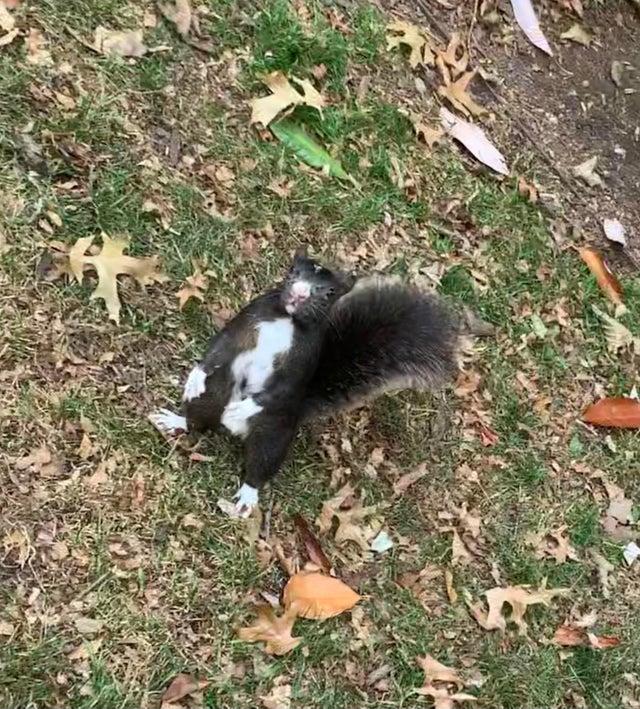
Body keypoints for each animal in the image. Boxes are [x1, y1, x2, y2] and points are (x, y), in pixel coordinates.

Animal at [149, 247, 475, 517]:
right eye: (293, 272)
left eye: (329, 292)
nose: (300, 293)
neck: (288, 320)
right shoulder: (247, 322)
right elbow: (221, 349)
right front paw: (196, 375)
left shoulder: (300, 364)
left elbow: (279, 390)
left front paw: (244, 408)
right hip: (215, 392)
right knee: (200, 420)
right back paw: (177, 420)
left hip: (273, 436)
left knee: (259, 466)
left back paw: (247, 494)